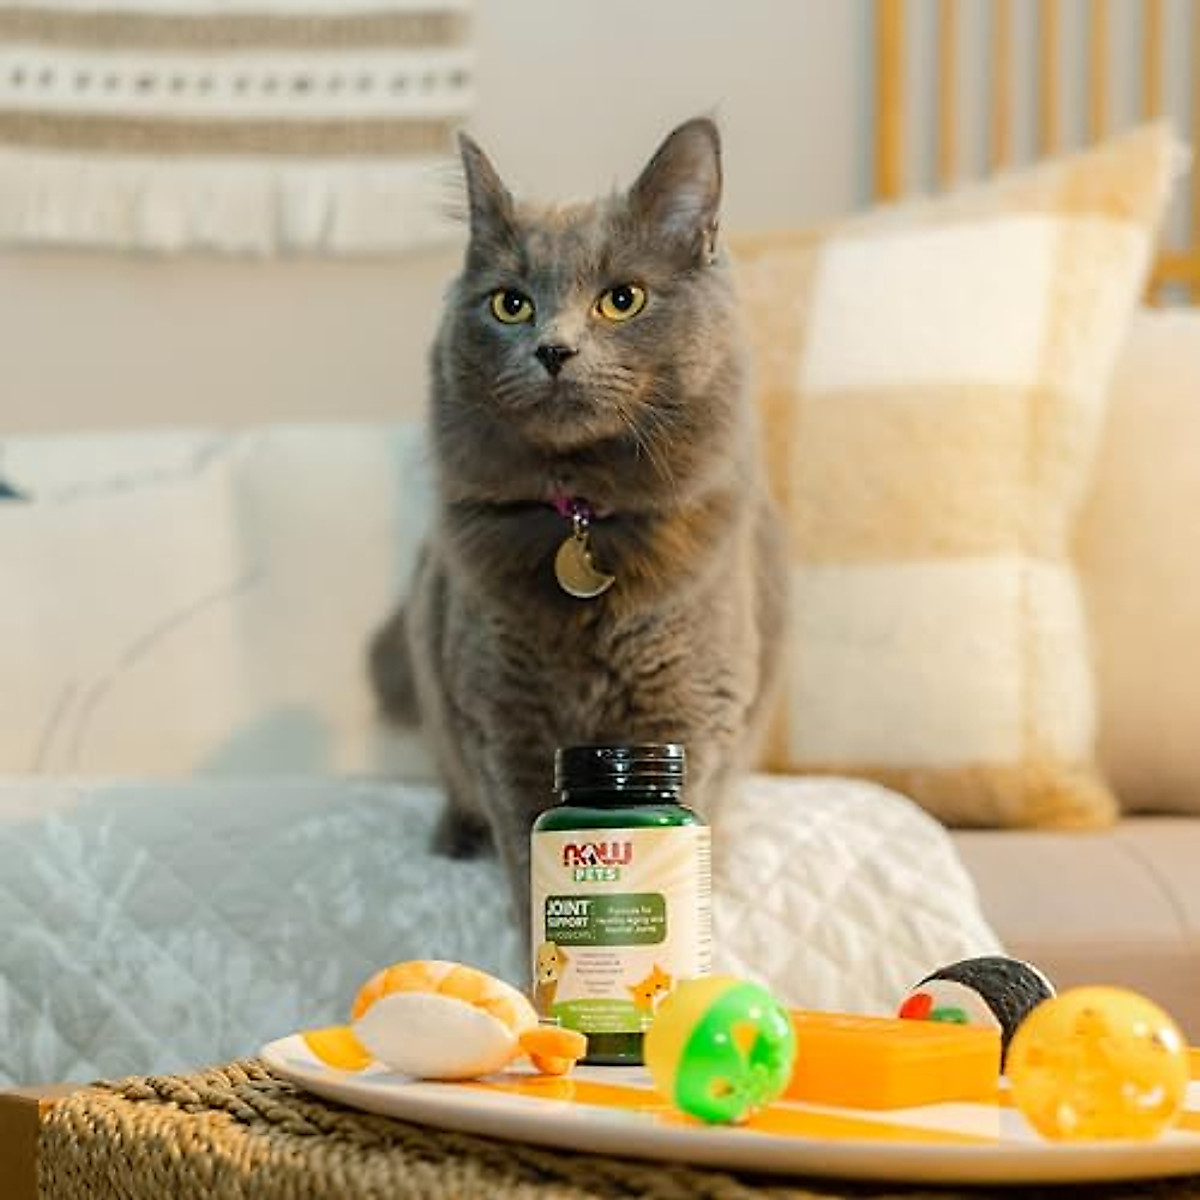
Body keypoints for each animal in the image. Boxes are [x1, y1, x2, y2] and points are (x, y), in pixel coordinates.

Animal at [369, 117, 788, 924]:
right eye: (510, 305)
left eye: (621, 299)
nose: (553, 350)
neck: (582, 517)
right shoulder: (504, 720)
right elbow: (524, 862)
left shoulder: (692, 712)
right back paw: (453, 835)